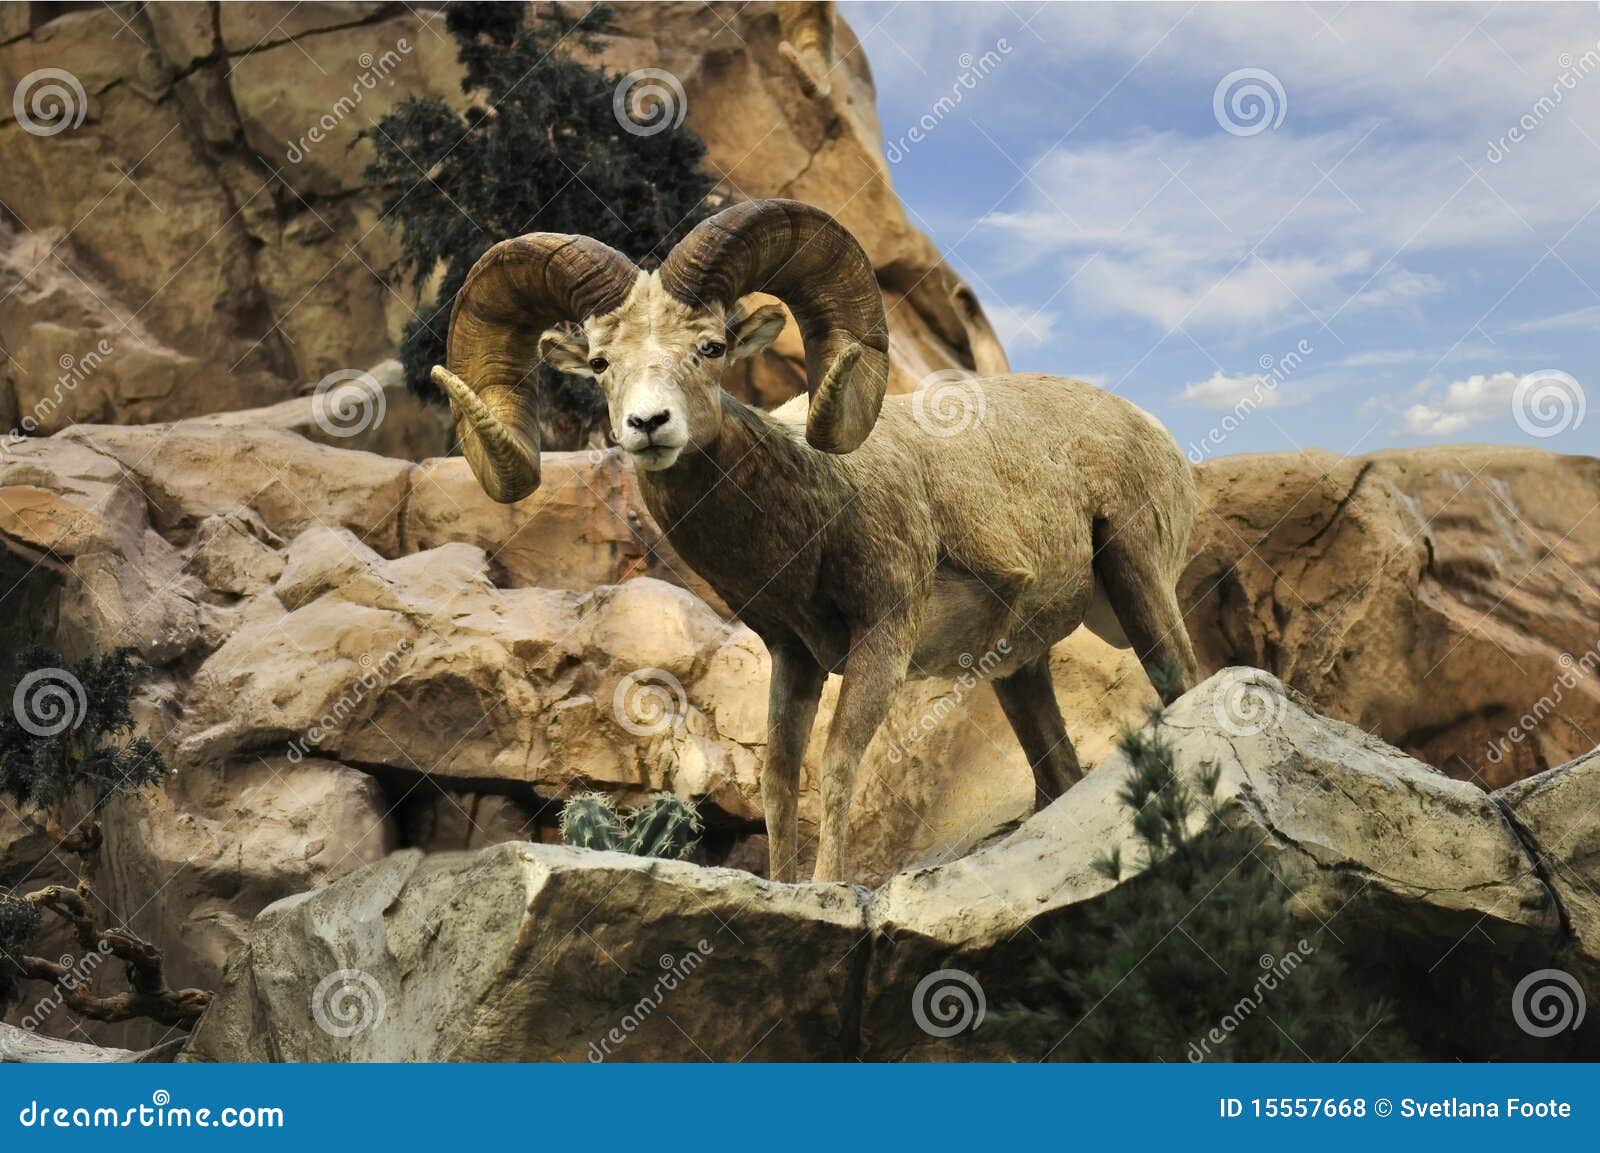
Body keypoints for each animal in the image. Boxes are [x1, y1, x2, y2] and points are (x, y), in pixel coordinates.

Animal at [430, 198, 1199, 883]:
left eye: (709, 348)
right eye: (599, 363)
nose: (649, 425)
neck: (814, 502)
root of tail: (1152, 430)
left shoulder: (882, 637)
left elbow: (836, 763)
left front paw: (831, 887)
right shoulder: (793, 658)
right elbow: (777, 780)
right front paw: (784, 885)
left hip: (1137, 581)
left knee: (1184, 684)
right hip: (1017, 666)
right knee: (1060, 770)